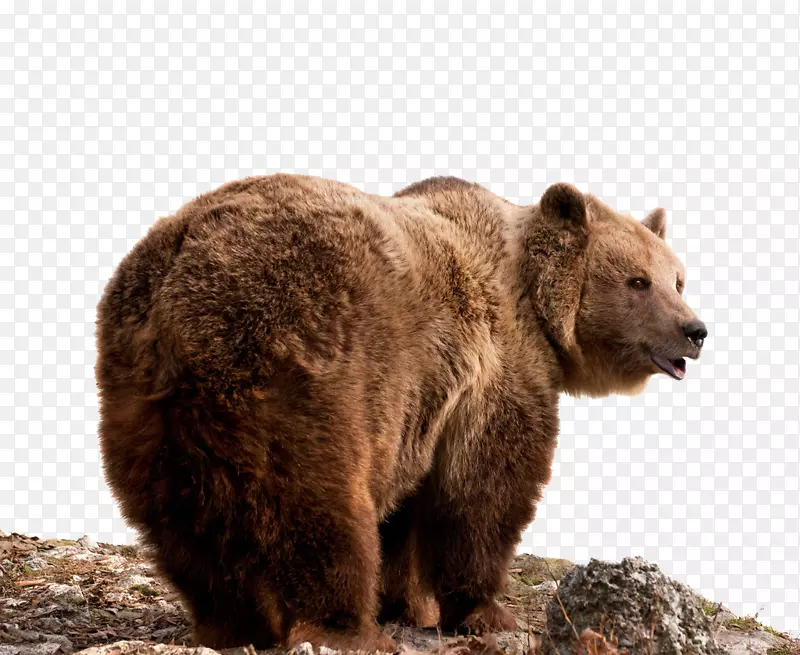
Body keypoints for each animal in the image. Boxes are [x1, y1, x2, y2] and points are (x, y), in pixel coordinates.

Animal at [94, 174, 707, 651]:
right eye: (637, 280)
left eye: (677, 279)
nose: (695, 330)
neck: (535, 305)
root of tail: (180, 280)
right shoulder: (494, 372)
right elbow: (484, 489)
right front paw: (482, 609)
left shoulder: (426, 404)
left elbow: (411, 509)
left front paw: (409, 603)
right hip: (303, 359)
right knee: (321, 504)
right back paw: (346, 627)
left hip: (148, 405)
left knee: (185, 523)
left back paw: (231, 624)